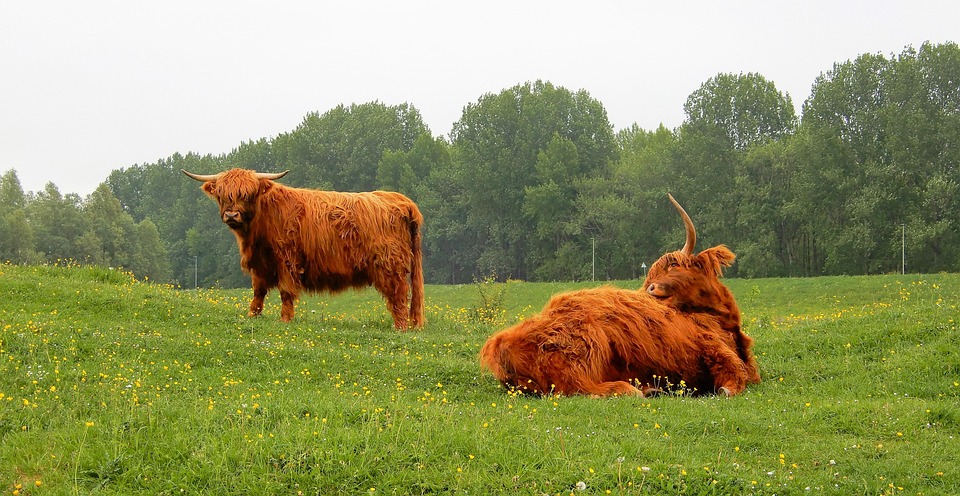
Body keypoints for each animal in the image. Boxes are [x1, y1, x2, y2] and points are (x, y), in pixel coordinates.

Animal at [183, 168, 425, 329]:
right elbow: (258, 292)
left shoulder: (287, 260)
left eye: (248, 194)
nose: (232, 215)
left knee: (398, 295)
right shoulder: (260, 264)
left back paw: (400, 327)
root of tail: (402, 201)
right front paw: (252, 315)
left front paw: (285, 319)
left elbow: (286, 291)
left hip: (390, 265)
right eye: (222, 194)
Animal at [479, 194, 759, 397]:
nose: (649, 289)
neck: (724, 321)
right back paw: (634, 389)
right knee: (581, 387)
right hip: (586, 347)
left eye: (673, 265)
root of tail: (501, 343)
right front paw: (725, 389)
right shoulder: (712, 347)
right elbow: (735, 373)